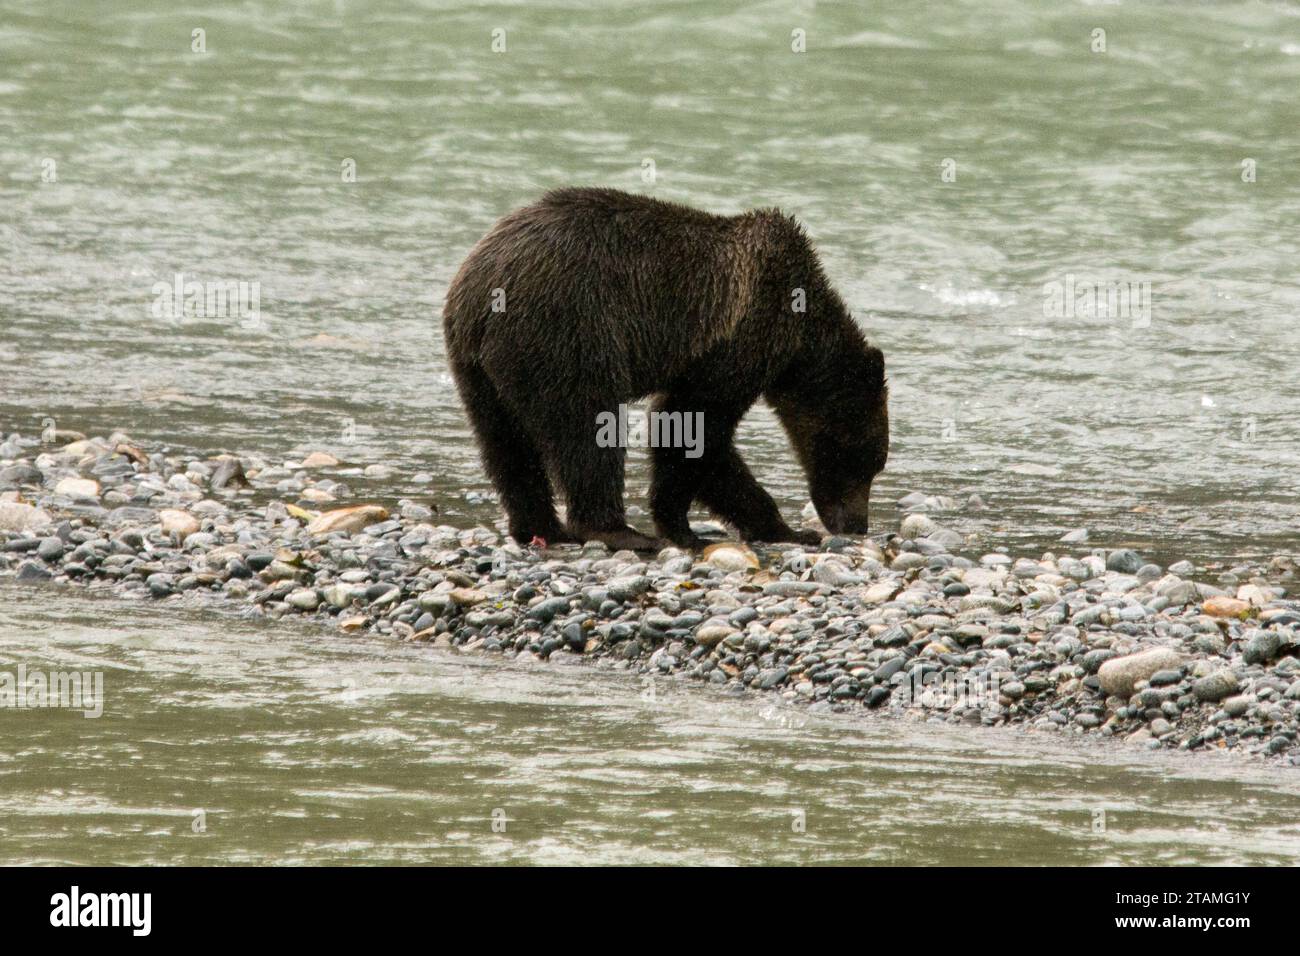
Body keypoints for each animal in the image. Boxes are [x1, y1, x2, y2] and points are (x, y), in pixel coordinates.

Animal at [442, 187, 888, 551]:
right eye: (866, 460)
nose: (858, 525)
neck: (798, 339)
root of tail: (481, 291)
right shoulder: (739, 332)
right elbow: (693, 425)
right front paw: (693, 528)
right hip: (568, 329)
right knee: (587, 426)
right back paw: (616, 531)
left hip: (478, 368)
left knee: (504, 442)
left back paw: (542, 528)